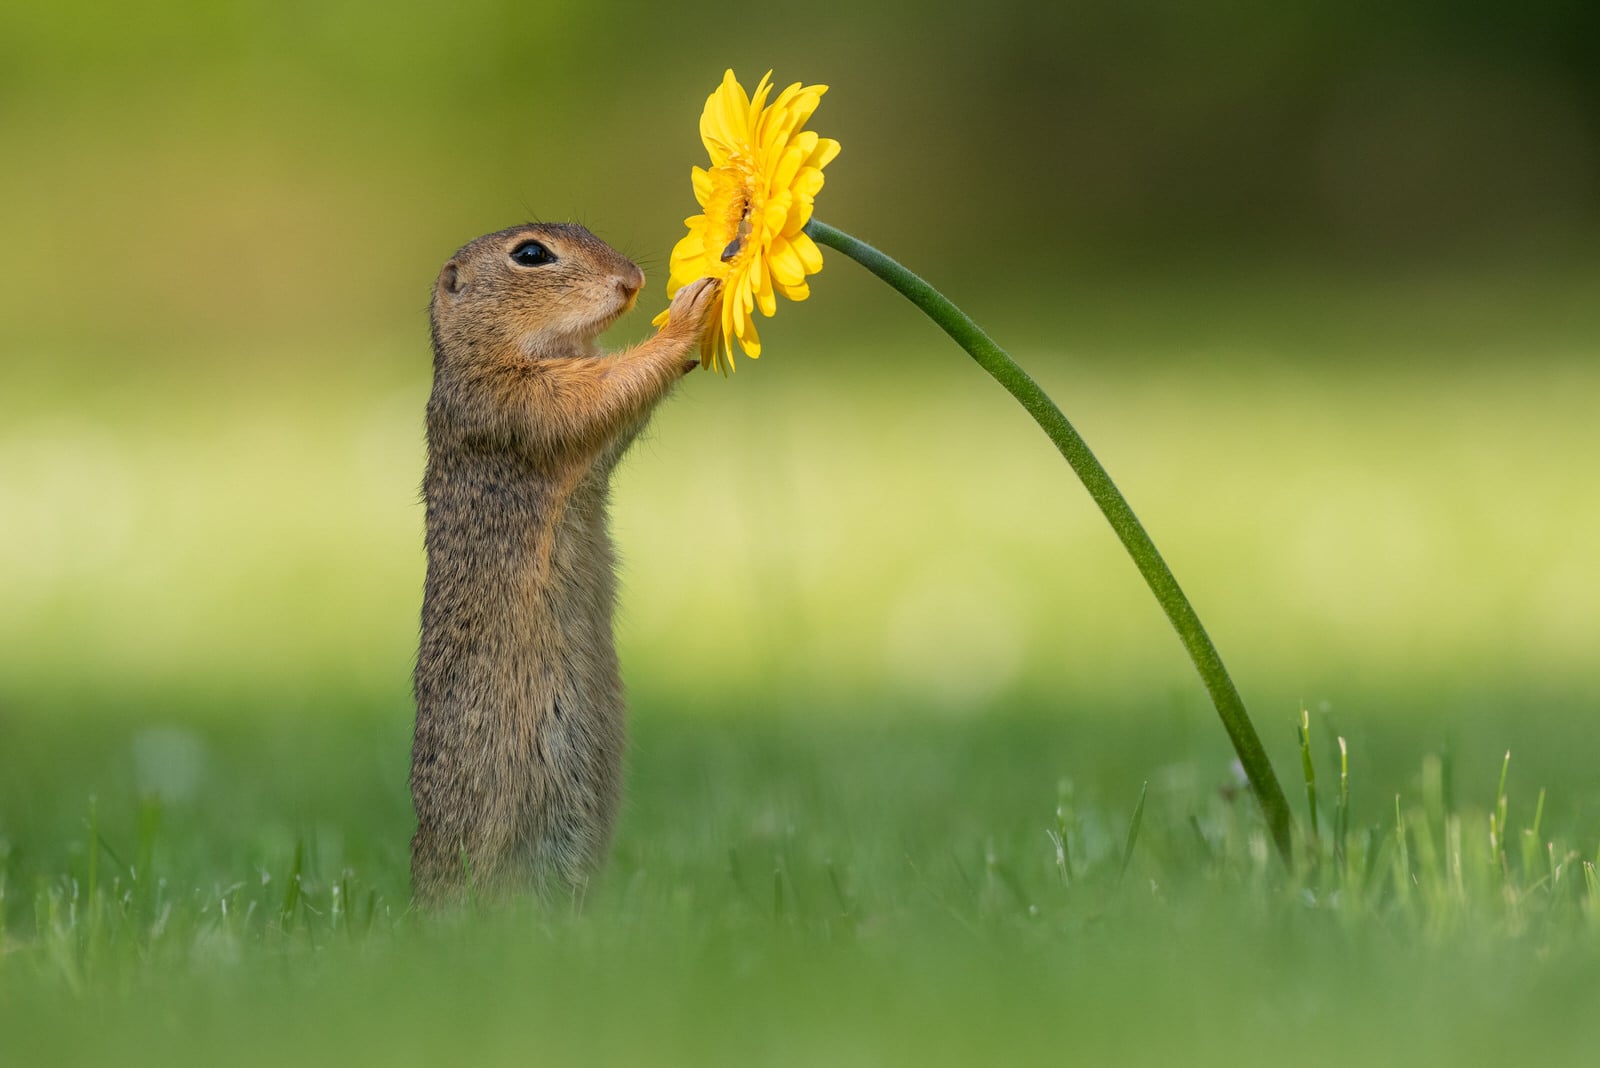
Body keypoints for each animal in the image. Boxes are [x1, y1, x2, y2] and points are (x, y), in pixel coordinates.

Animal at [409, 222, 719, 904]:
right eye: (531, 254)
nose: (632, 279)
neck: (483, 356)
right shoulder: (522, 401)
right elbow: (604, 389)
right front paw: (687, 315)